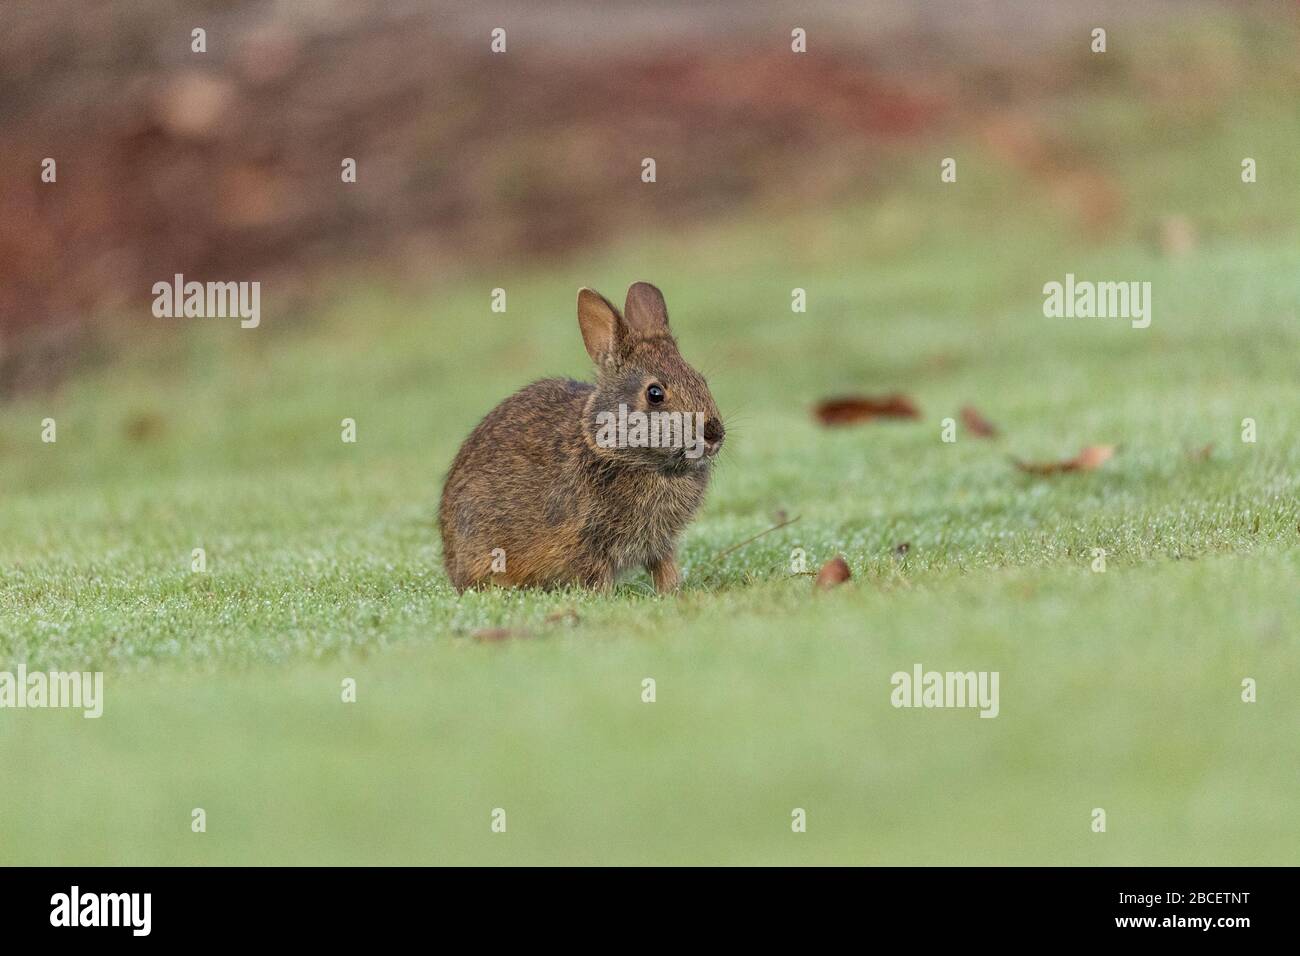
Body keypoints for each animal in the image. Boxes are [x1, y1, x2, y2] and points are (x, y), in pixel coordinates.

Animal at [439, 282, 725, 593]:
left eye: (701, 380)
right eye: (655, 394)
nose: (714, 434)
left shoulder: (660, 544)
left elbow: (665, 567)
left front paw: (673, 592)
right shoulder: (584, 541)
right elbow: (595, 575)